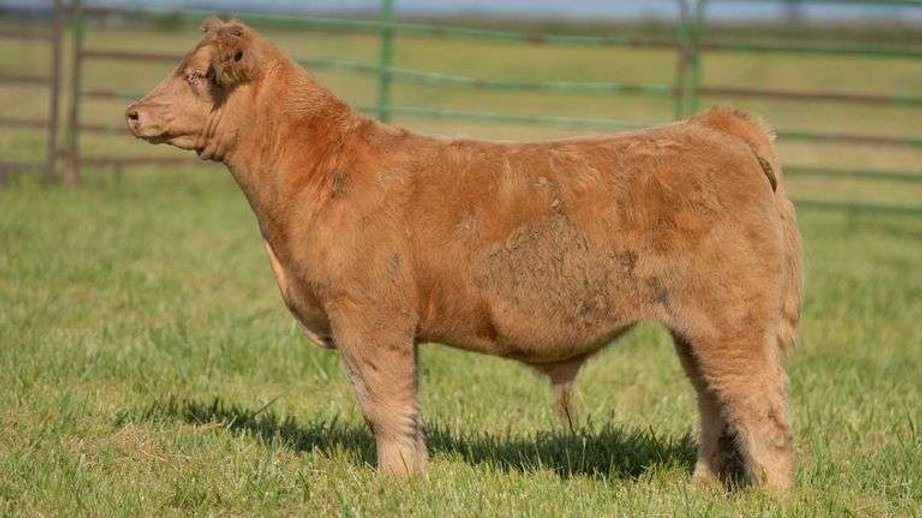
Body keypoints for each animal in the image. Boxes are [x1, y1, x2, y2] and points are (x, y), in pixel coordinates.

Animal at [126, 18, 802, 489]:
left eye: (196, 76)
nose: (132, 111)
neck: (314, 172)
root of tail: (711, 126)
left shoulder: (367, 317)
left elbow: (384, 402)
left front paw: (397, 481)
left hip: (732, 321)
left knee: (759, 405)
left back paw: (773, 494)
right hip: (696, 329)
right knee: (716, 402)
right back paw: (705, 487)